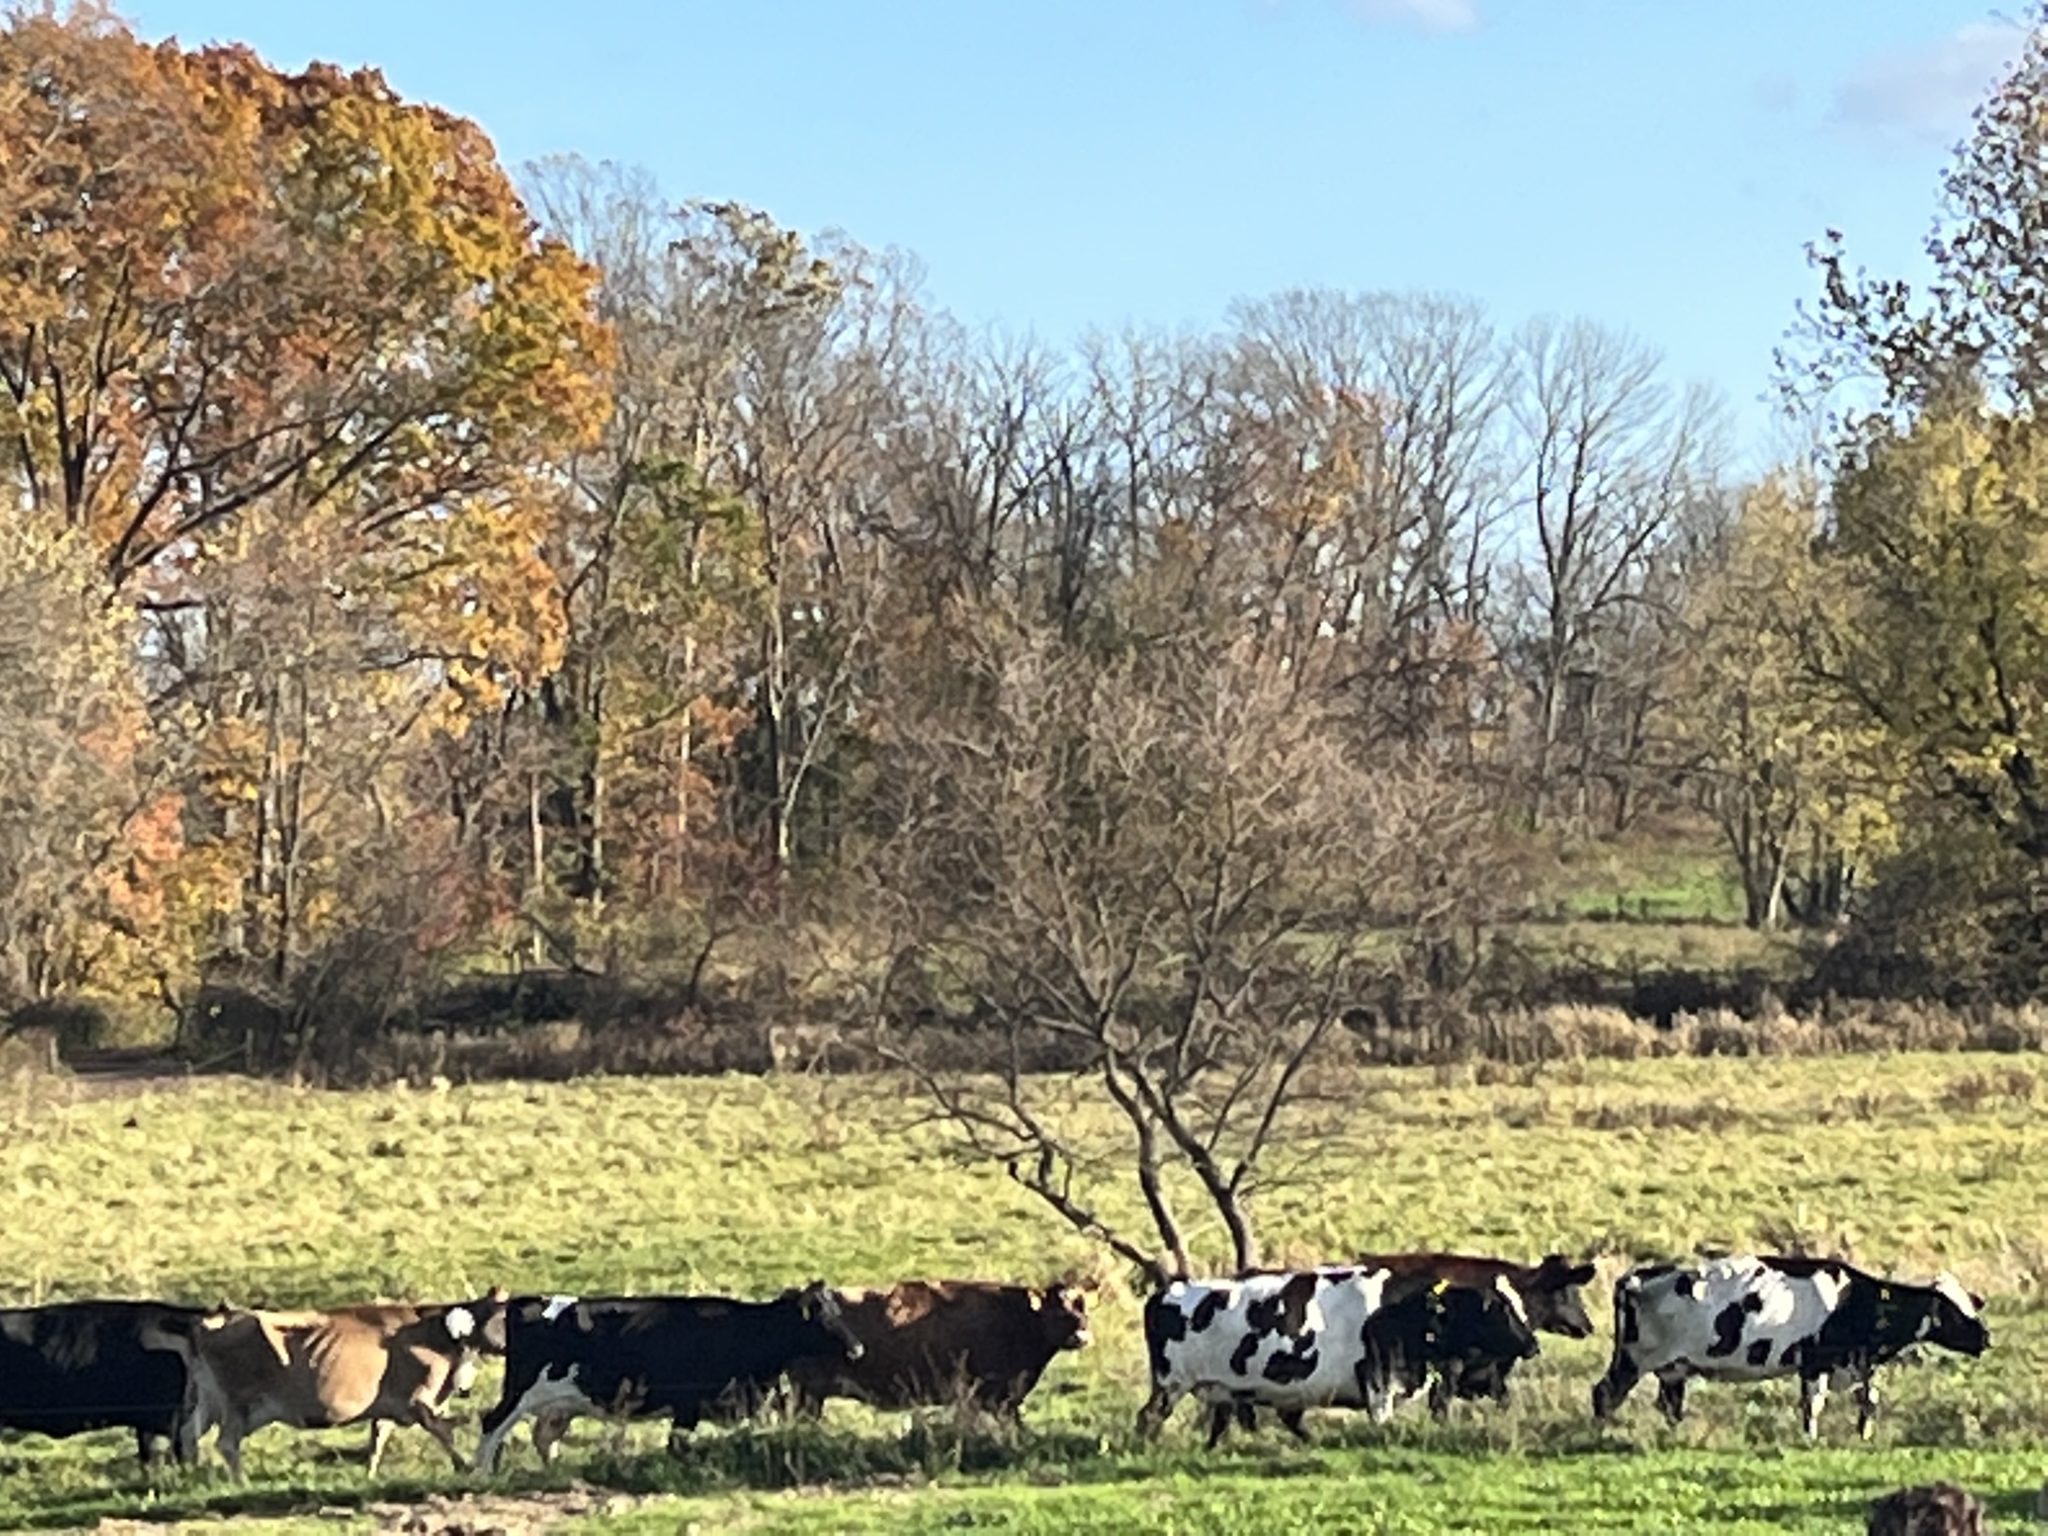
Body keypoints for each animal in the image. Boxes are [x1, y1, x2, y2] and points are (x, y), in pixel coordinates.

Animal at [175, 1291, 510, 1475]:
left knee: (189, 1434)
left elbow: (377, 1441)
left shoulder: (388, 1407)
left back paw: (190, 1476)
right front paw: (465, 1466)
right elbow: (442, 1431)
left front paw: (370, 1476)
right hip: (237, 1404)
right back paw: (239, 1481)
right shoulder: (418, 1399)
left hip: (209, 1400)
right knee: (226, 1443)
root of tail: (214, 1320)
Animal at [472, 1280, 863, 1473]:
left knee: (544, 1436)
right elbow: (677, 1446)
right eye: (821, 1316)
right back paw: (481, 1474)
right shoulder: (687, 1404)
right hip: (519, 1392)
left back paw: (553, 1472)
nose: (857, 1349)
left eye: (837, 1309)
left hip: (559, 1405)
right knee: (493, 1423)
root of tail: (526, 1302)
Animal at [1135, 1267, 1537, 1447]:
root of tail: (1168, 1289)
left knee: (1227, 1422)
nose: (1533, 1345)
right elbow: (1383, 1421)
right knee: (1148, 1416)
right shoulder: (1378, 1382)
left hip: (1221, 1391)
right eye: (1497, 1309)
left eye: (1517, 1305)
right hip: (1170, 1383)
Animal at [1591, 1254, 1988, 1437]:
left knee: (1670, 1405)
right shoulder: (1814, 1361)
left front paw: (1863, 1434)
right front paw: (1810, 1439)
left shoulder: (1854, 1362)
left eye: (1970, 1304)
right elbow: (1813, 1406)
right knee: (1604, 1393)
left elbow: (1869, 1401)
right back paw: (1599, 1435)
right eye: (1953, 1312)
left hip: (1672, 1368)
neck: (1850, 1298)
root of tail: (1636, 1276)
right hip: (1632, 1359)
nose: (1986, 1337)